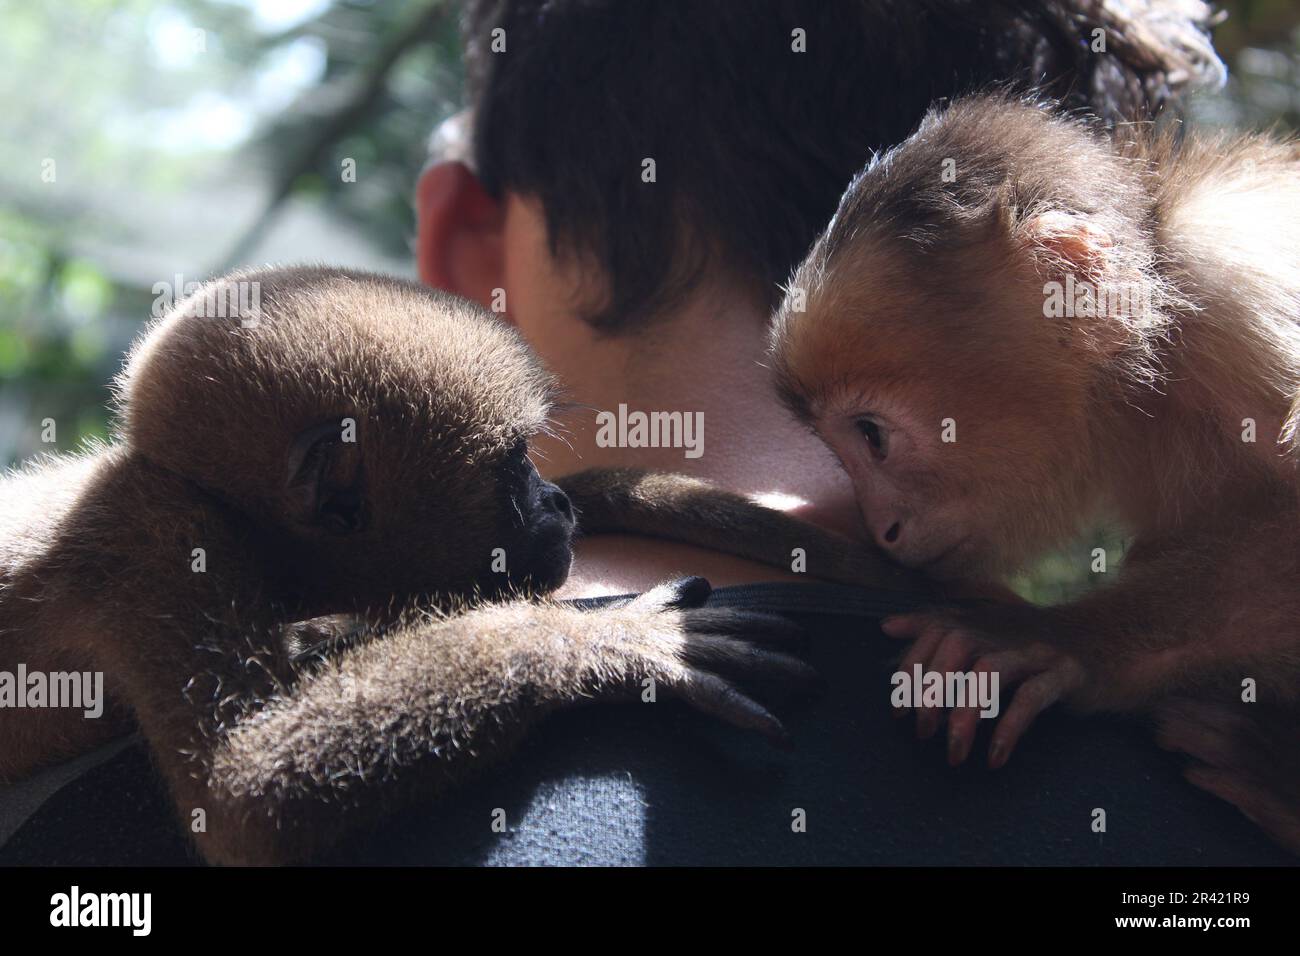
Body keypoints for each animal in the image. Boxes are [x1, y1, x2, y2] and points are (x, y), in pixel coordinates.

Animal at [2, 265, 878, 865]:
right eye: (514, 468)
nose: (559, 503)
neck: (216, 506)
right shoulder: (160, 543)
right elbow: (243, 792)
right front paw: (609, 644)